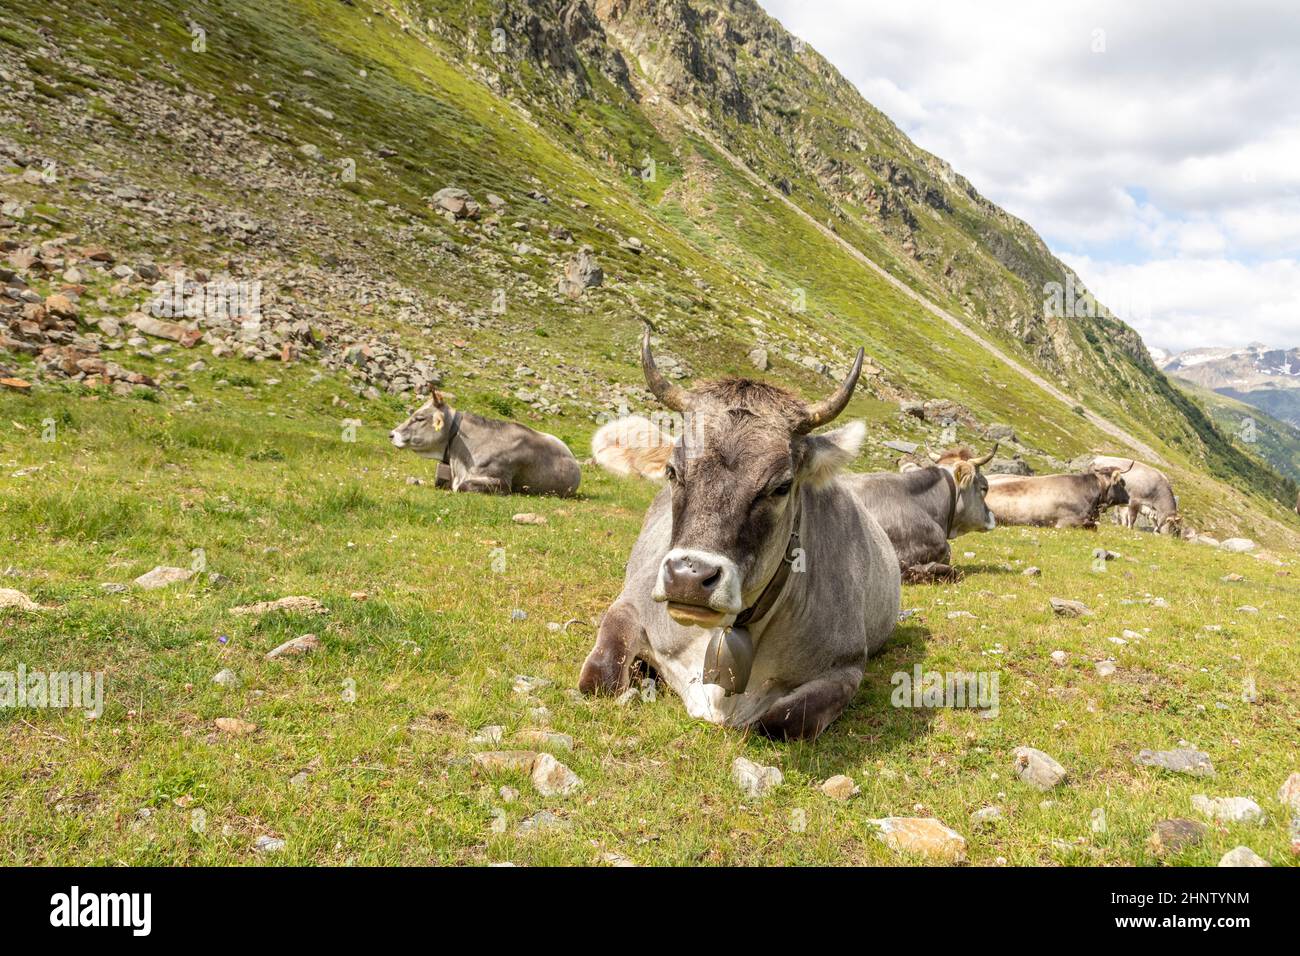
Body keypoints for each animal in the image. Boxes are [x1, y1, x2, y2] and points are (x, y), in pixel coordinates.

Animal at [579, 330, 901, 740]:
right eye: (672, 471)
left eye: (781, 487)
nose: (689, 577)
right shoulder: (630, 604)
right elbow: (600, 677)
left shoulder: (846, 665)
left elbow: (784, 721)